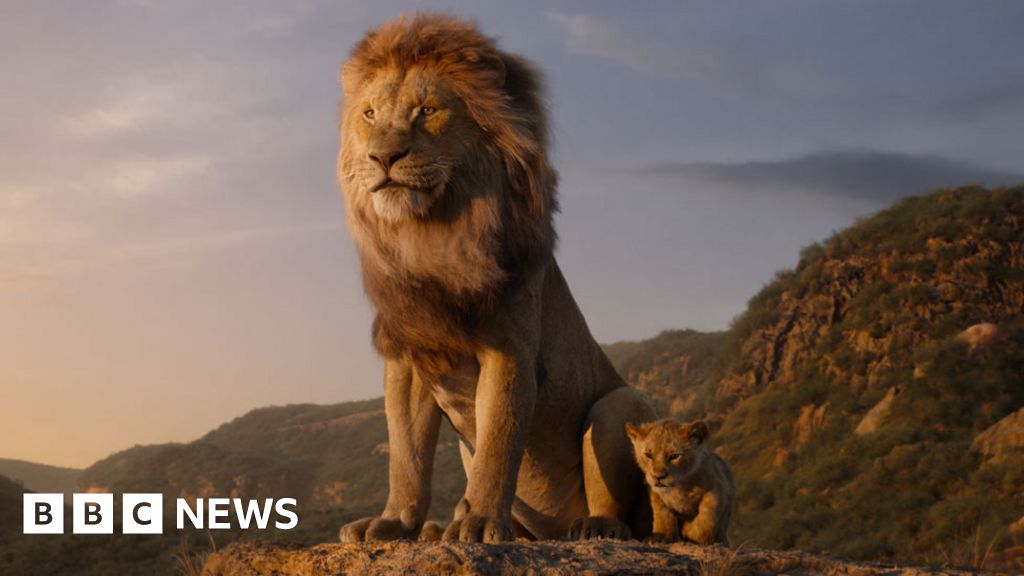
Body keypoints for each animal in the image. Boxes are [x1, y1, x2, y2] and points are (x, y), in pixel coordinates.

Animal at [335, 14, 657, 543]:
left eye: (427, 111)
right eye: (369, 115)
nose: (383, 157)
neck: (431, 236)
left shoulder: (509, 350)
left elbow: (498, 445)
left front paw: (482, 521)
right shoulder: (409, 356)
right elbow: (406, 455)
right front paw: (394, 522)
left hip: (620, 404)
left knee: (621, 508)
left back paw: (593, 527)